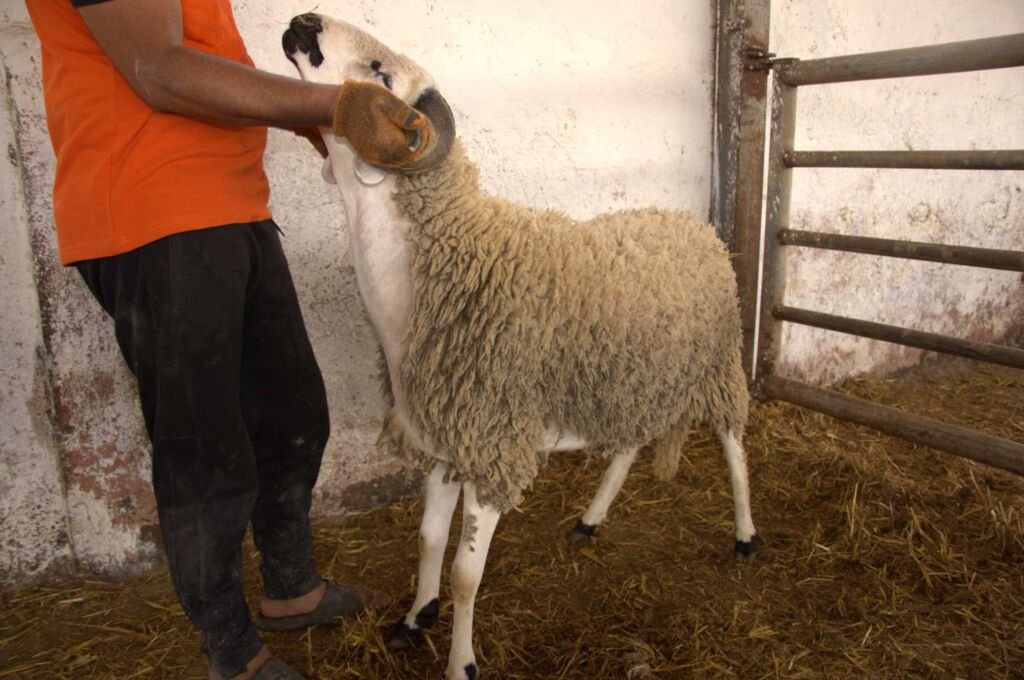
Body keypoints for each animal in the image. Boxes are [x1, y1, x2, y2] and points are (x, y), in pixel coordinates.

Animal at [282, 13, 757, 680]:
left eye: (382, 74)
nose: (304, 23)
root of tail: (692, 224)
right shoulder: (447, 439)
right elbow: (428, 541)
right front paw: (414, 619)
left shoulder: (492, 443)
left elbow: (464, 574)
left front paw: (461, 661)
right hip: (632, 375)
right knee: (629, 444)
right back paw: (591, 519)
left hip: (718, 364)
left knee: (735, 446)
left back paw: (745, 533)